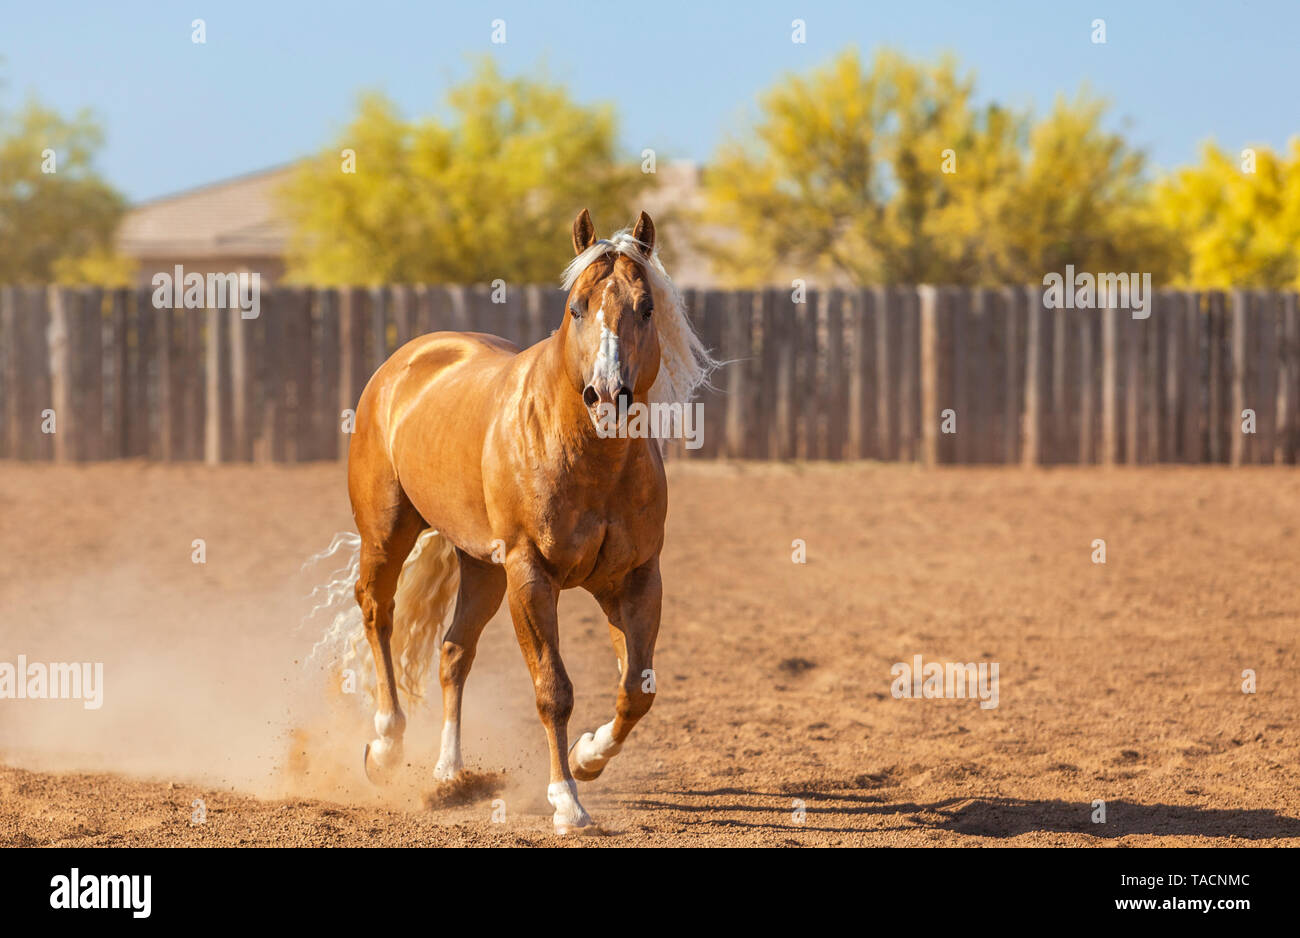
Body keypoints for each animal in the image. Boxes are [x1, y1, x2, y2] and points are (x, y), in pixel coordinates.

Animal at [338, 209, 714, 834]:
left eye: (646, 308)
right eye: (577, 307)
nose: (605, 395)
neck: (589, 458)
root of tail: (404, 363)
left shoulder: (636, 580)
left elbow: (637, 688)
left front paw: (587, 757)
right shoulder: (531, 575)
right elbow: (552, 688)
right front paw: (566, 800)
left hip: (481, 568)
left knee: (453, 653)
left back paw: (450, 773)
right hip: (388, 534)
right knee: (377, 612)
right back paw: (387, 747)